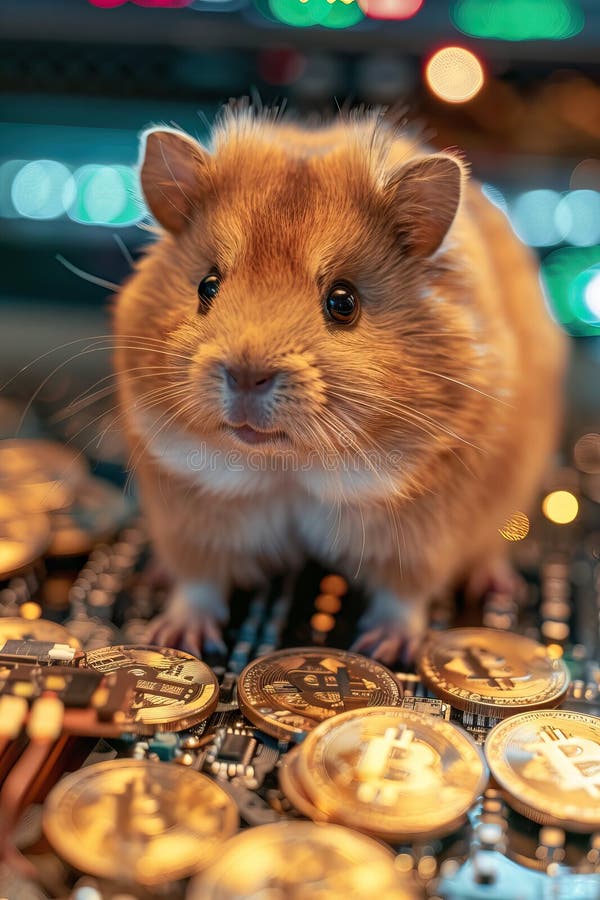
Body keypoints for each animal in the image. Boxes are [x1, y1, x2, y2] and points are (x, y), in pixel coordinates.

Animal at [113, 106, 567, 664]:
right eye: (207, 286)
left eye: (343, 302)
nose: (245, 374)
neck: (289, 467)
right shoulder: (189, 517)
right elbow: (198, 585)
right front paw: (175, 639)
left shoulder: (424, 532)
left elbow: (404, 595)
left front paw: (385, 649)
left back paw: (495, 585)